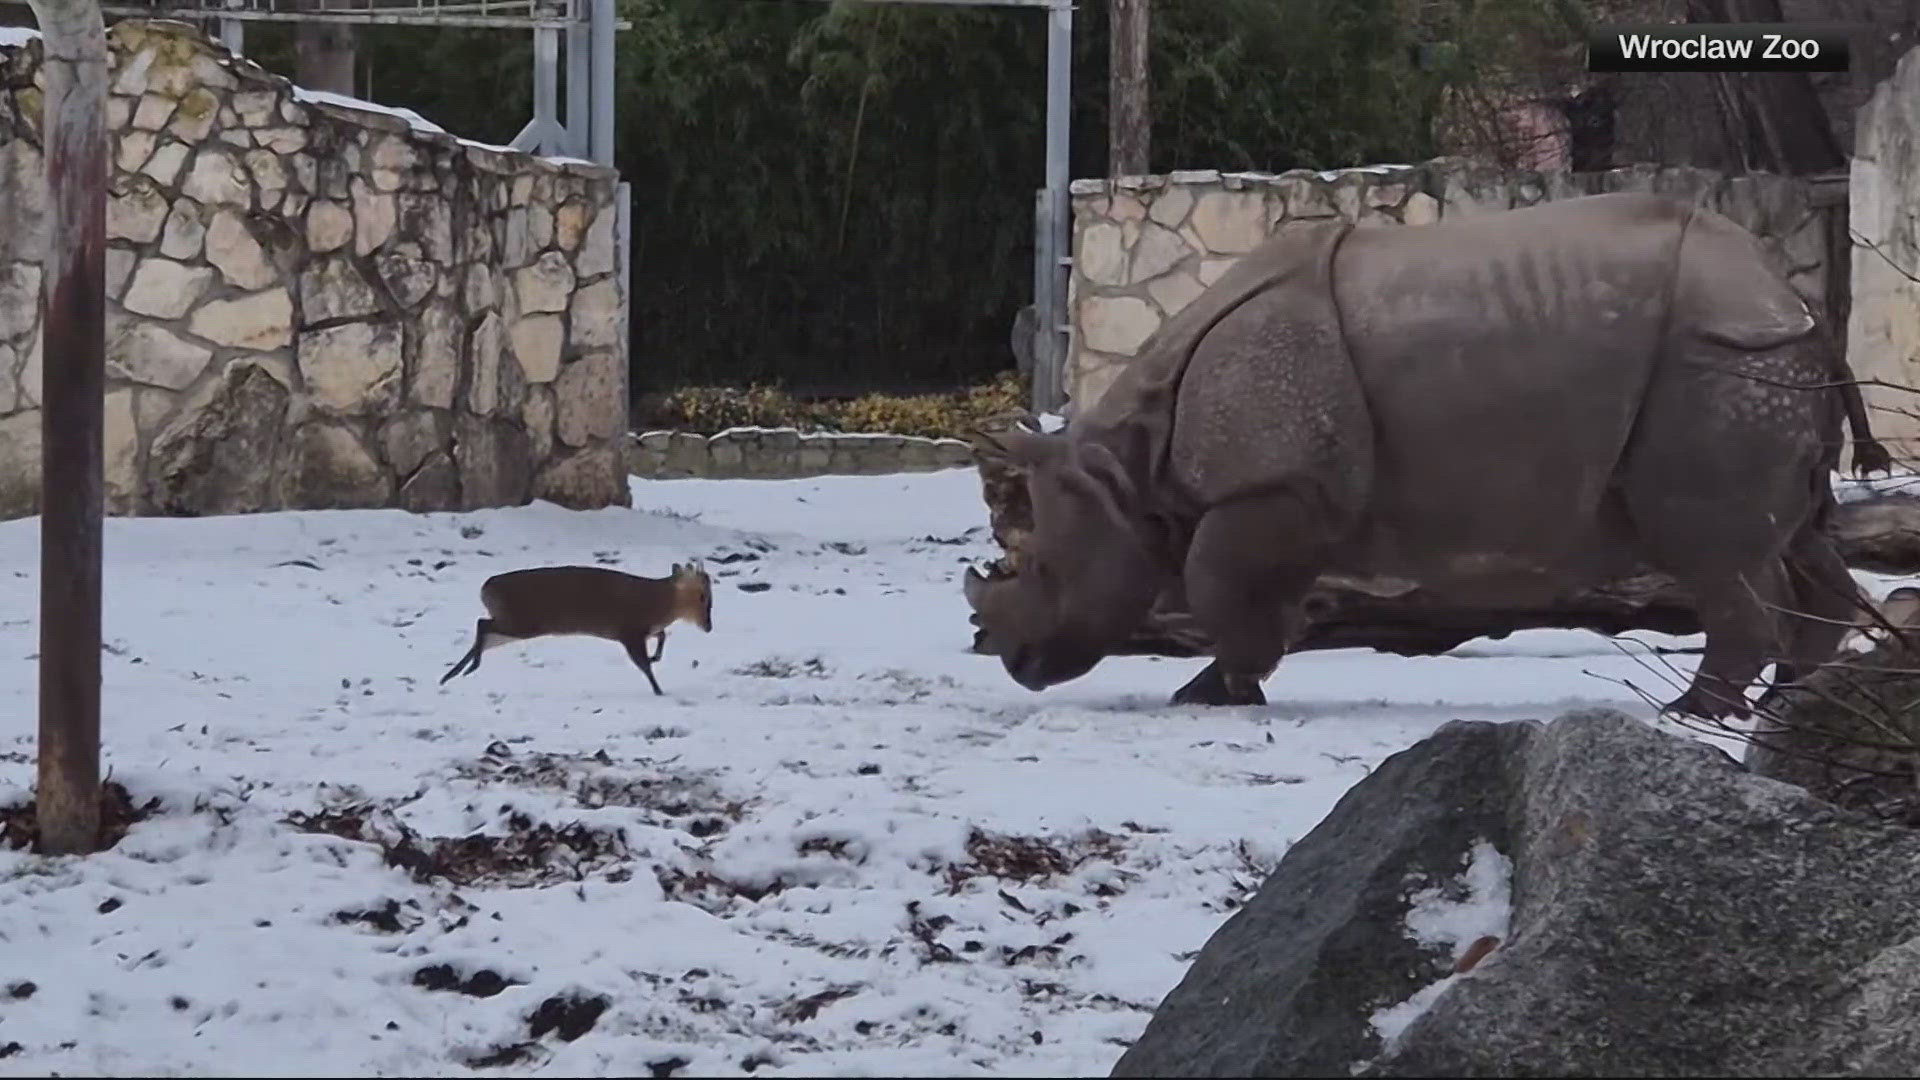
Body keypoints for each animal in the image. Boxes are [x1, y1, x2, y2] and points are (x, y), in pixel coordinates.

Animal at [439, 563, 713, 695]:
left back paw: (451, 675)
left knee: (483, 633)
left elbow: (661, 637)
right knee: (482, 624)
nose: (708, 626)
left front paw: (657, 658)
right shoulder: (629, 631)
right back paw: (465, 669)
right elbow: (644, 664)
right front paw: (659, 691)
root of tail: (485, 589)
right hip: (522, 621)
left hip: (514, 625)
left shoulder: (644, 631)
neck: (660, 603)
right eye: (703, 596)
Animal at [964, 192, 1888, 720]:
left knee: (1713, 549)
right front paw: (1222, 689)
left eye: (1038, 567)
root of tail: (1787, 292)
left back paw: (1692, 714)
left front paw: (1209, 697)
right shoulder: (1296, 492)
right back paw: (1796, 703)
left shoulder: (1275, 486)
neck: (1127, 468)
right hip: (1760, 362)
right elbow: (1263, 600)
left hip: (1724, 358)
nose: (1013, 662)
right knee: (1795, 540)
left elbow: (1218, 588)